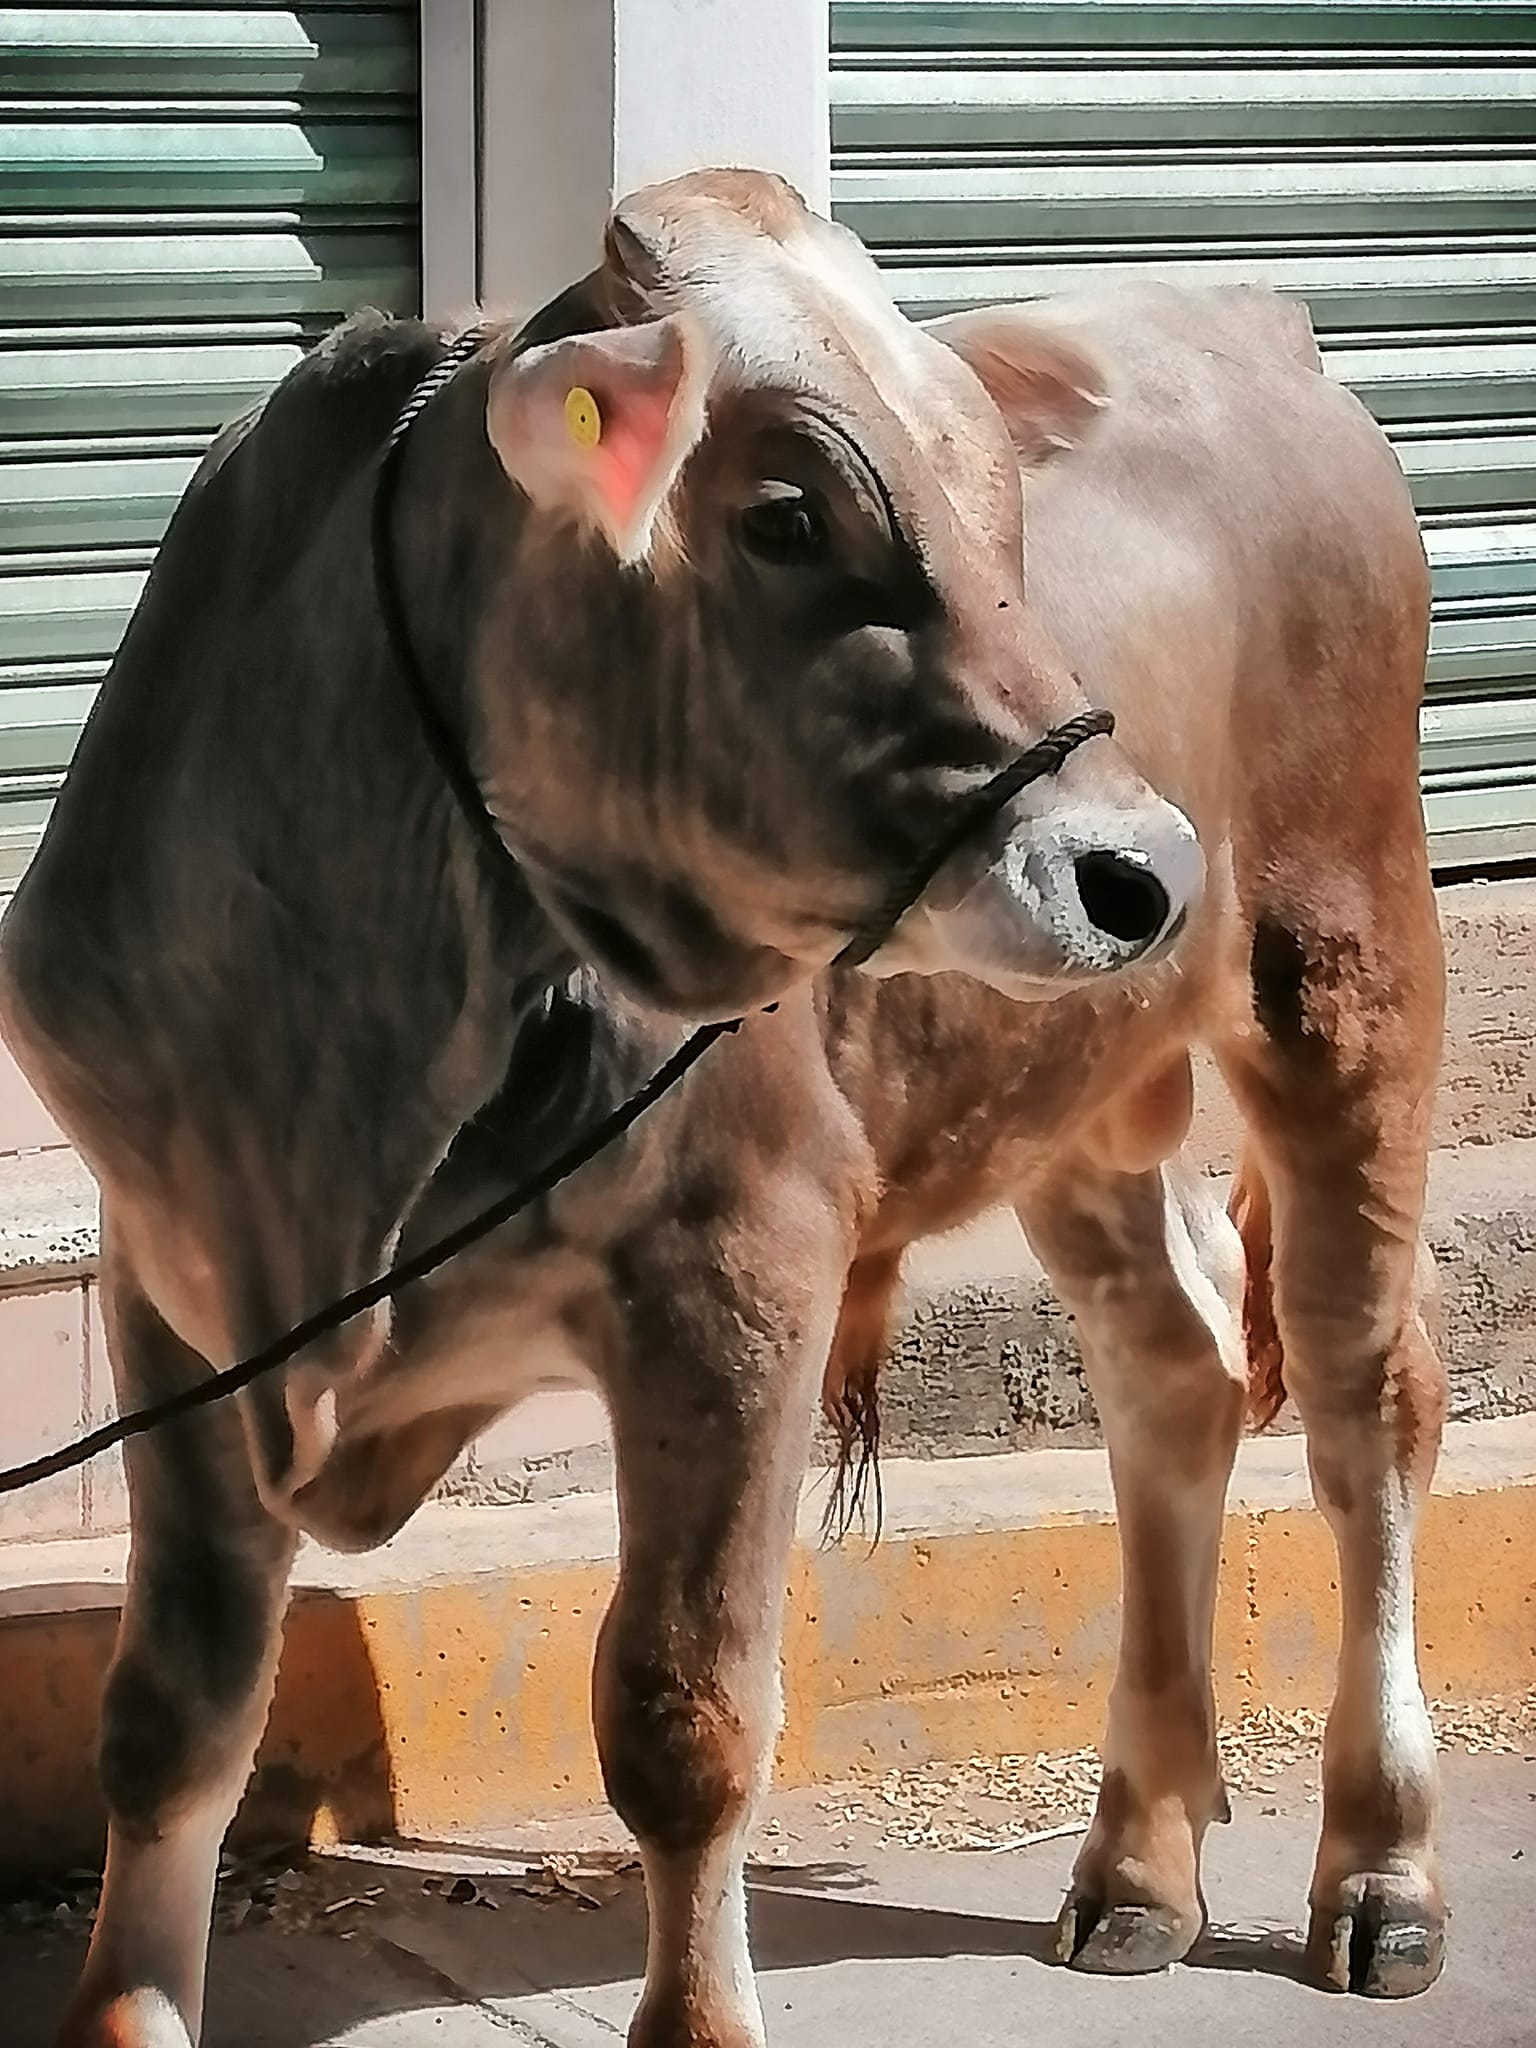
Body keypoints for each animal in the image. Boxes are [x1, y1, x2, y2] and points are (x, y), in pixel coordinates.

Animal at [0, 170, 1444, 2048]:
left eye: (1001, 512)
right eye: (782, 516)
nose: (1143, 871)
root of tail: (1246, 315)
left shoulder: (740, 1267)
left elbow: (682, 1718)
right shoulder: (169, 1281)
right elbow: (174, 1710)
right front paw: (130, 2011)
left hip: (1348, 977)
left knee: (1364, 1408)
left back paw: (1381, 1867)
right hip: (1066, 1097)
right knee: (1172, 1379)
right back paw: (1135, 1861)